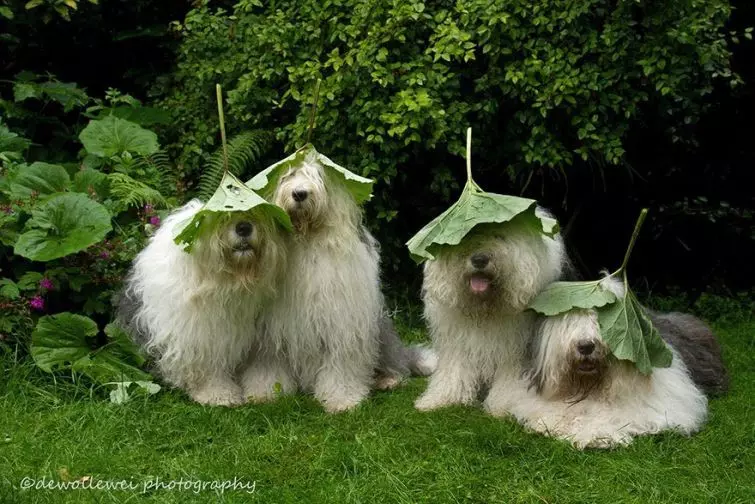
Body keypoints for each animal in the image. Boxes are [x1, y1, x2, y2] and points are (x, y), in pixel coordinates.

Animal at [118, 200, 286, 406]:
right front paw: (219, 395)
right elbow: (208, 369)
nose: (244, 227)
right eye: (222, 217)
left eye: (255, 213)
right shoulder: (197, 337)